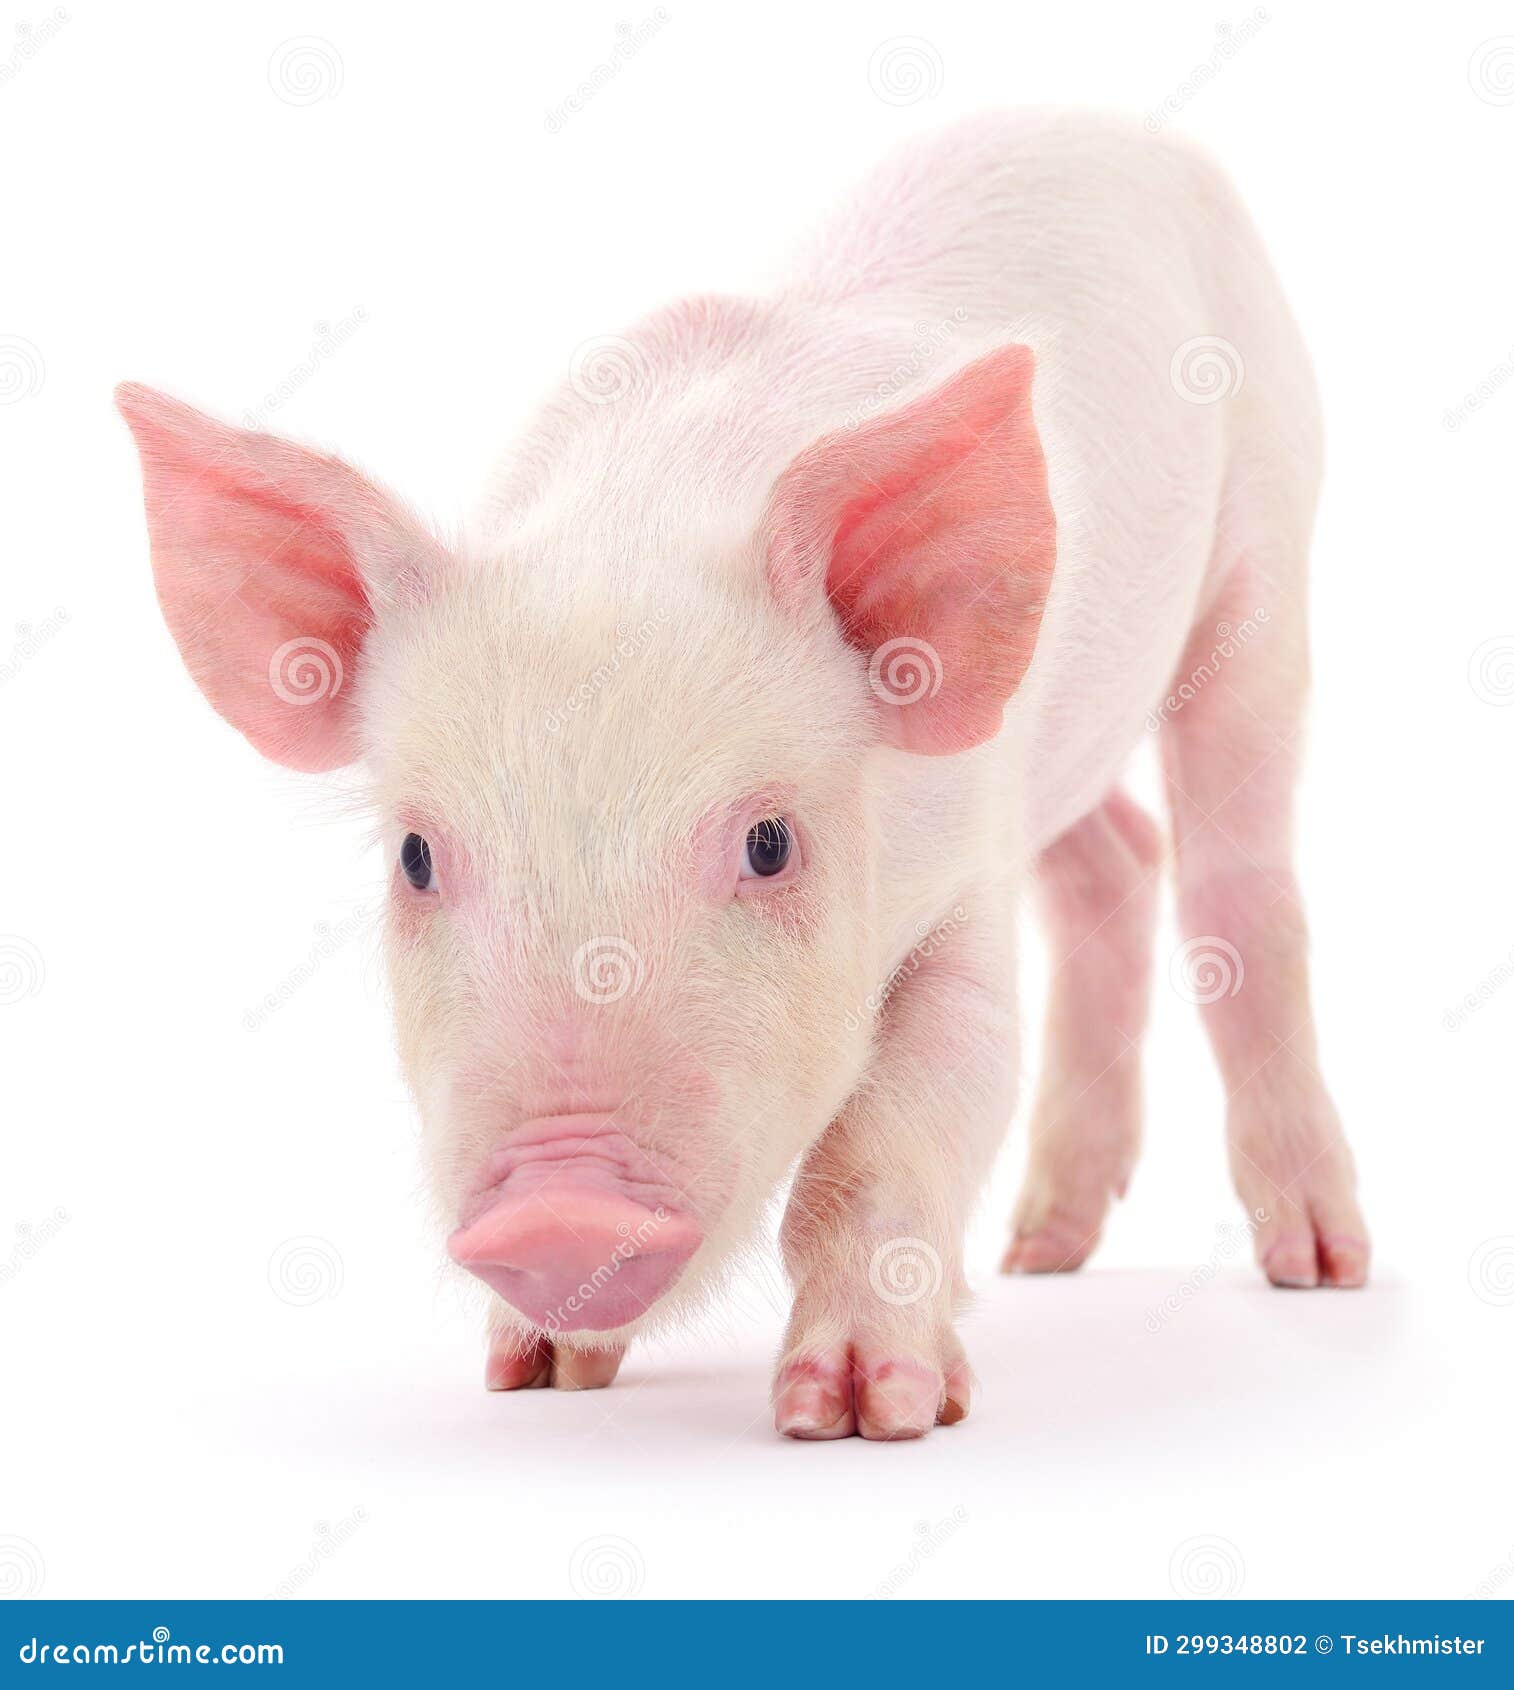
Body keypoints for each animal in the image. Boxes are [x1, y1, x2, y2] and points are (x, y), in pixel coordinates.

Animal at [117, 111, 1368, 1440]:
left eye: (769, 843)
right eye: (414, 857)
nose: (560, 1209)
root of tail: (1108, 123)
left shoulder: (961, 864)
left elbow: (912, 1105)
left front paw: (864, 1412)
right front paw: (529, 1376)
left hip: (1265, 544)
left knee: (1238, 880)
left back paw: (1317, 1265)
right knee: (1118, 851)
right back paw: (1042, 1254)